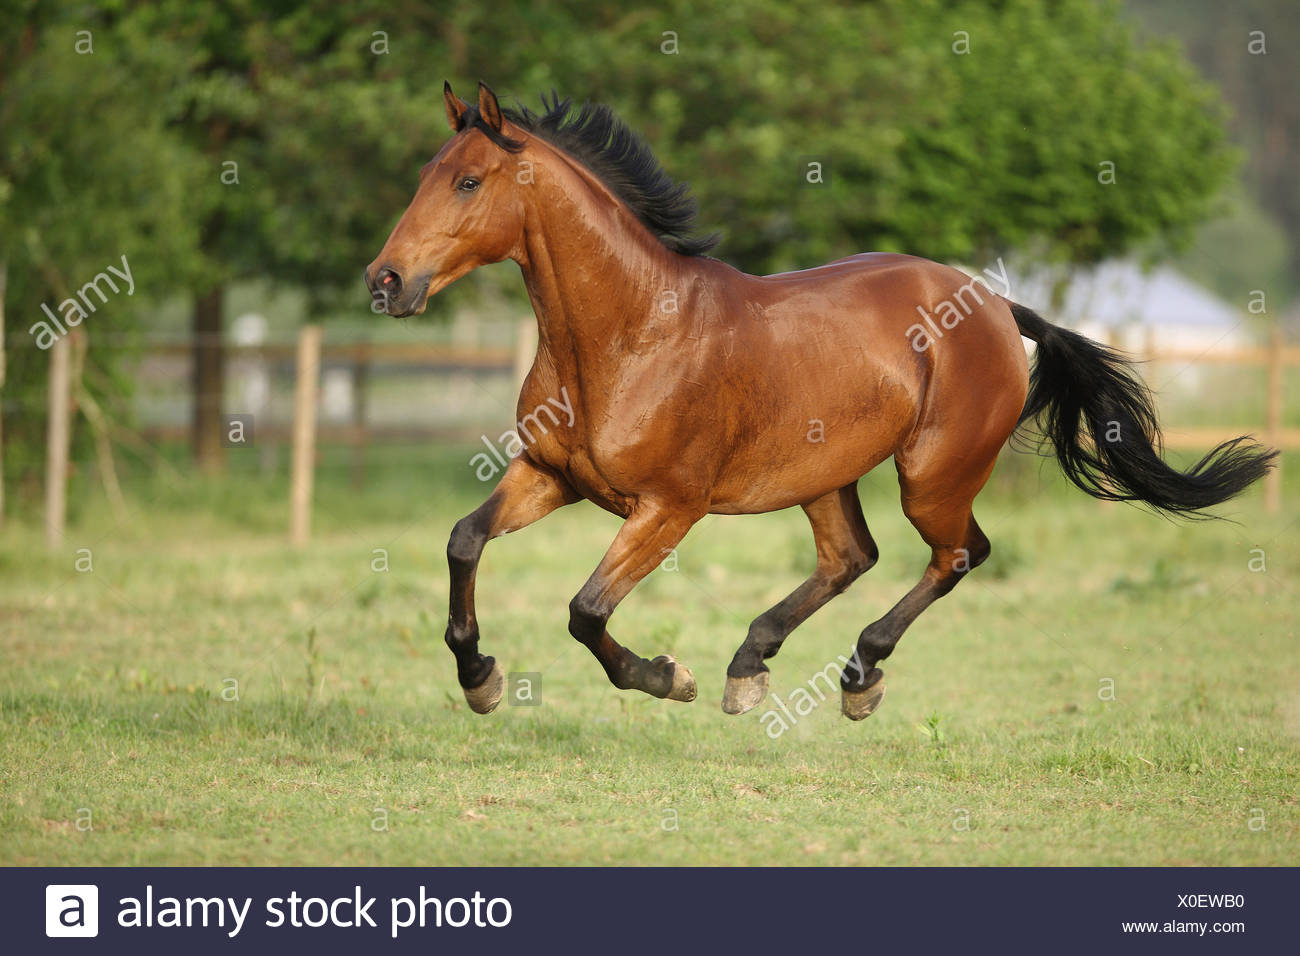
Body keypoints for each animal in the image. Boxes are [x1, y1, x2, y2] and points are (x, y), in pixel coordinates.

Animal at [365, 82, 1276, 720]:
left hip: (931, 476)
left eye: (468, 181)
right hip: (826, 472)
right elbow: (463, 540)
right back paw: (750, 667)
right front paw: (480, 678)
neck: (629, 334)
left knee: (957, 555)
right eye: (424, 176)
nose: (386, 282)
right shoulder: (553, 477)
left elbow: (586, 611)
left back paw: (856, 677)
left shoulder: (668, 506)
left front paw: (667, 676)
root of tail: (990, 305)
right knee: (851, 556)